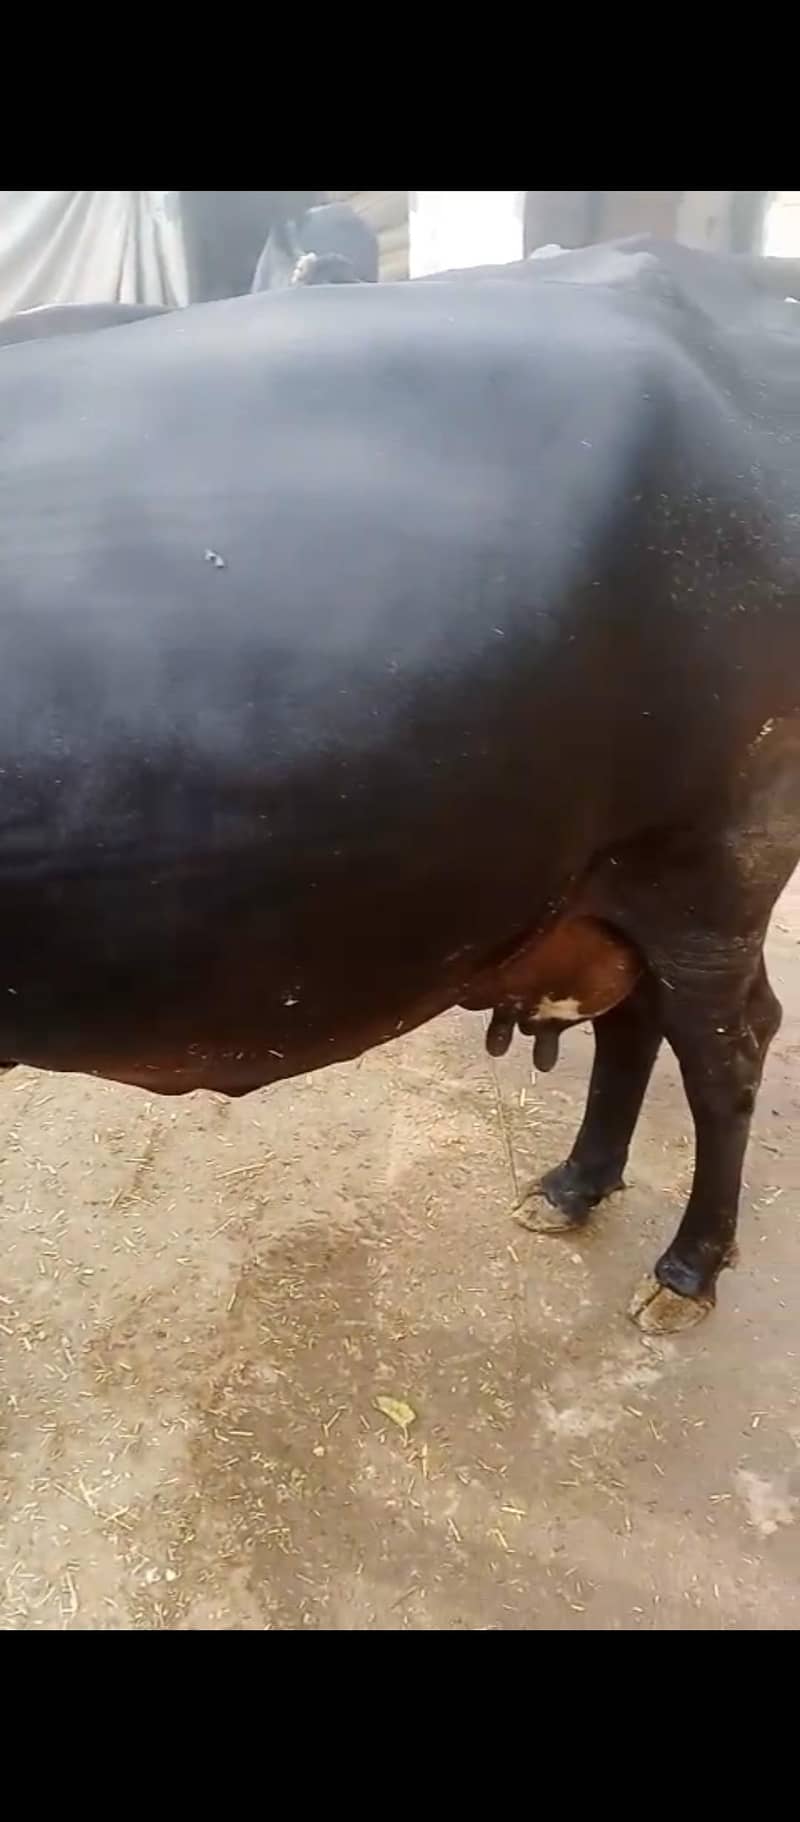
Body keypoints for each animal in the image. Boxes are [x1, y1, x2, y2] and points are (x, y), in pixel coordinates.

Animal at [0, 240, 798, 1340]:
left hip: (712, 860)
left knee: (727, 1051)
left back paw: (685, 1270)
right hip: (606, 877)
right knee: (634, 1022)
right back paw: (573, 1186)